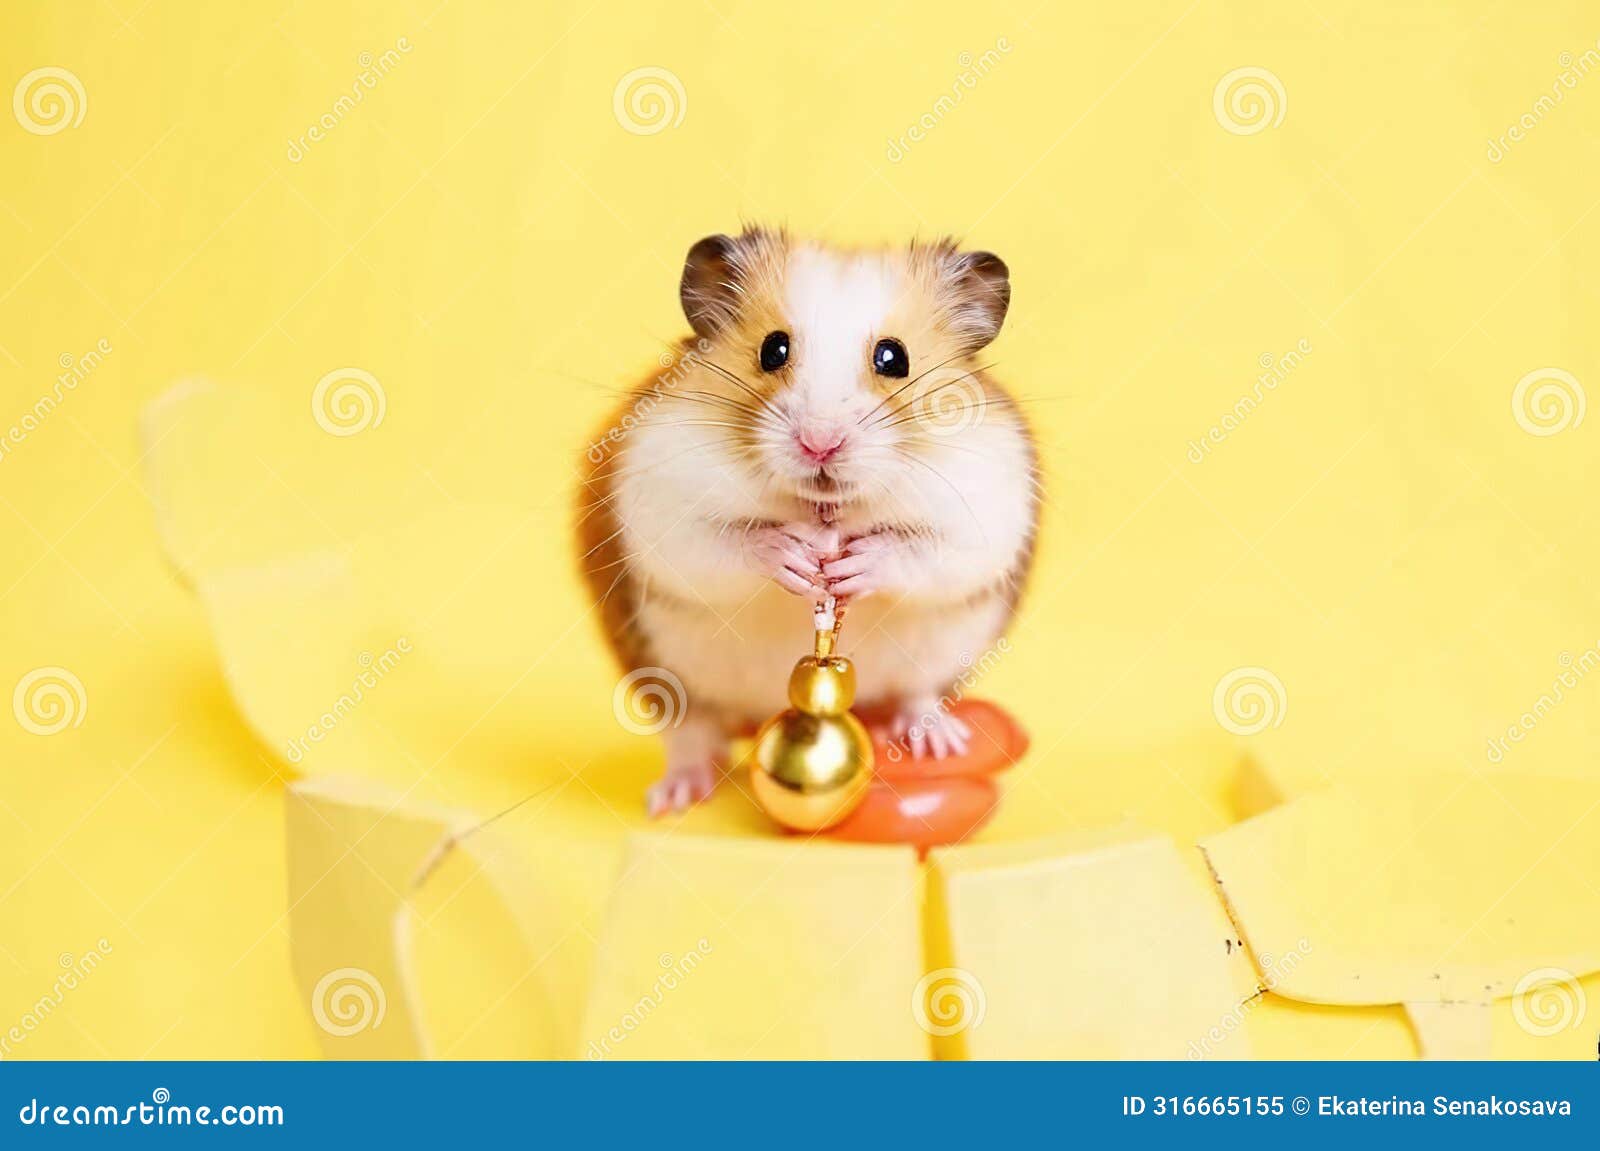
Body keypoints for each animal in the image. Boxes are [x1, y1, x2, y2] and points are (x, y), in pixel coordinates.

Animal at [577, 228, 1038, 815]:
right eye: (773, 349)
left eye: (894, 357)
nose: (820, 443)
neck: (821, 508)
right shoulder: (660, 501)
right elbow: (727, 540)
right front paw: (796, 554)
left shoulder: (985, 508)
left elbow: (923, 549)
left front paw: (850, 565)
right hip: (665, 674)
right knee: (692, 730)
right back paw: (676, 796)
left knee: (918, 691)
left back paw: (935, 740)